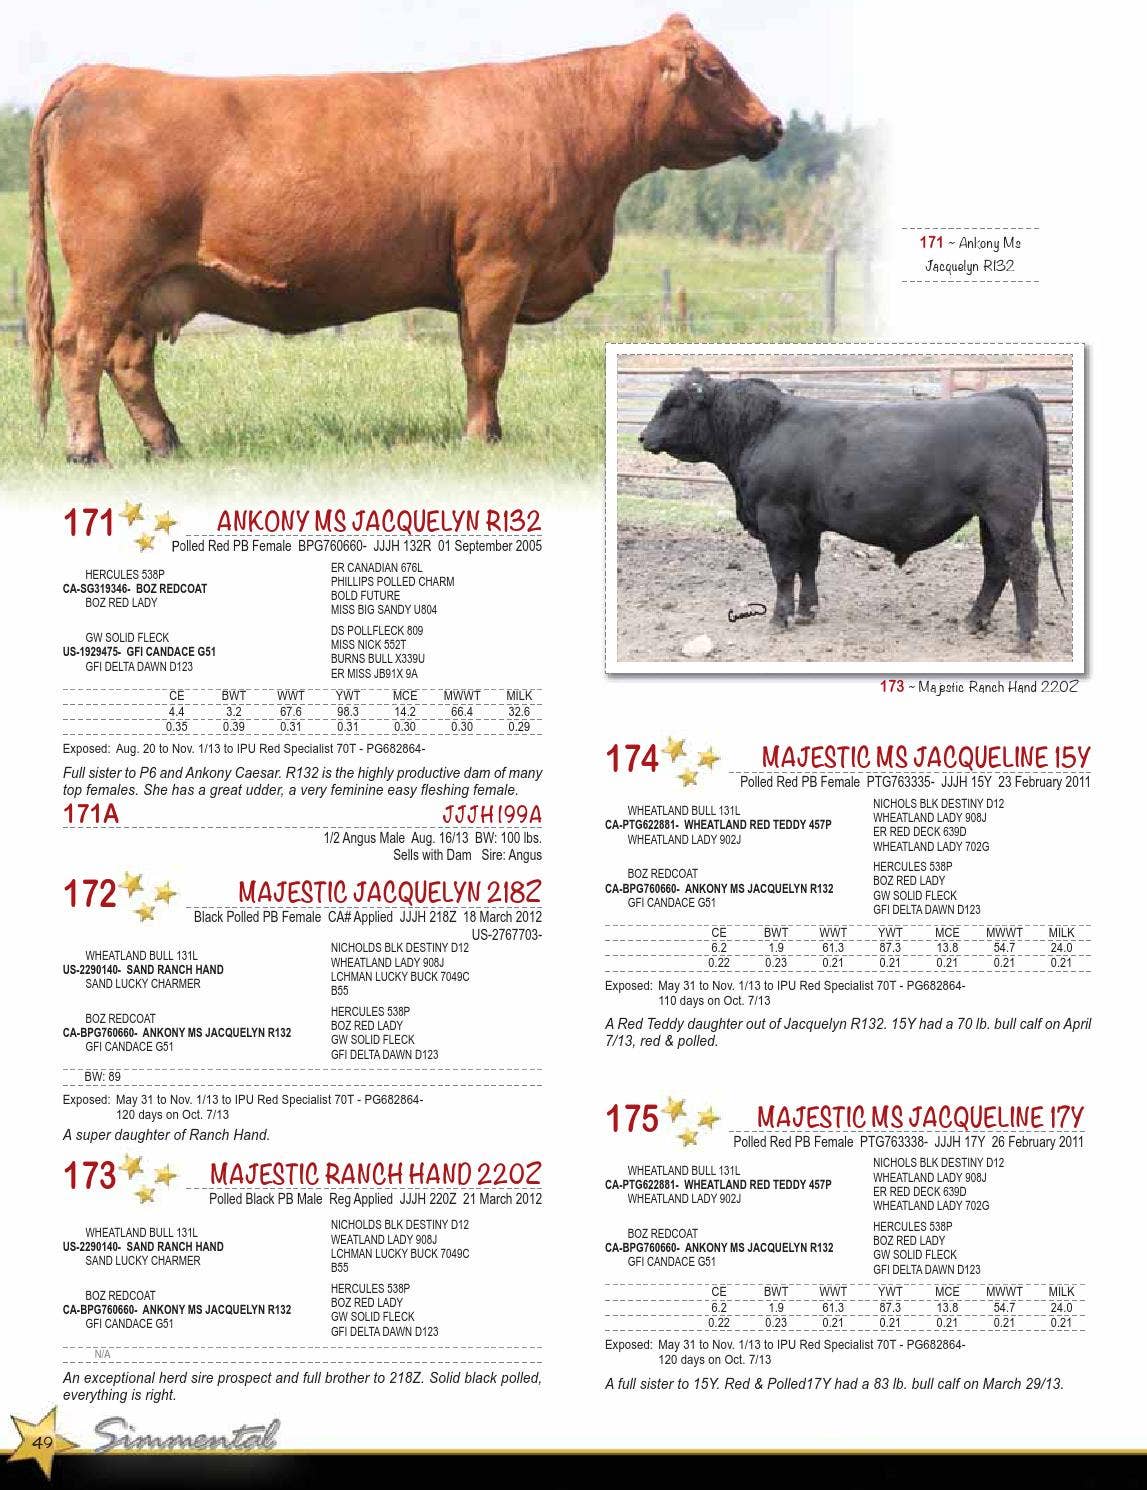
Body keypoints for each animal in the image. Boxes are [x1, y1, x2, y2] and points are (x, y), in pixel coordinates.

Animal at [26, 16, 782, 464]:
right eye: (715, 70)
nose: (773, 123)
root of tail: (99, 72)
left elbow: (476, 357)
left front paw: (487, 433)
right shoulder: (498, 263)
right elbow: (486, 359)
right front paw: (481, 438)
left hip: (148, 285)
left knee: (128, 362)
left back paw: (167, 446)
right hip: (107, 272)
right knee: (80, 347)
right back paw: (87, 450)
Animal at [638, 370, 1066, 644]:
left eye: (675, 404)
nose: (643, 436)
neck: (761, 431)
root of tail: (1007, 394)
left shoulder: (777, 518)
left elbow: (783, 571)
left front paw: (780, 618)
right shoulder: (807, 522)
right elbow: (808, 565)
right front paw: (807, 612)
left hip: (1008, 515)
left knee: (1023, 563)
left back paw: (1026, 636)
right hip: (989, 519)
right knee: (996, 566)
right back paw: (974, 621)